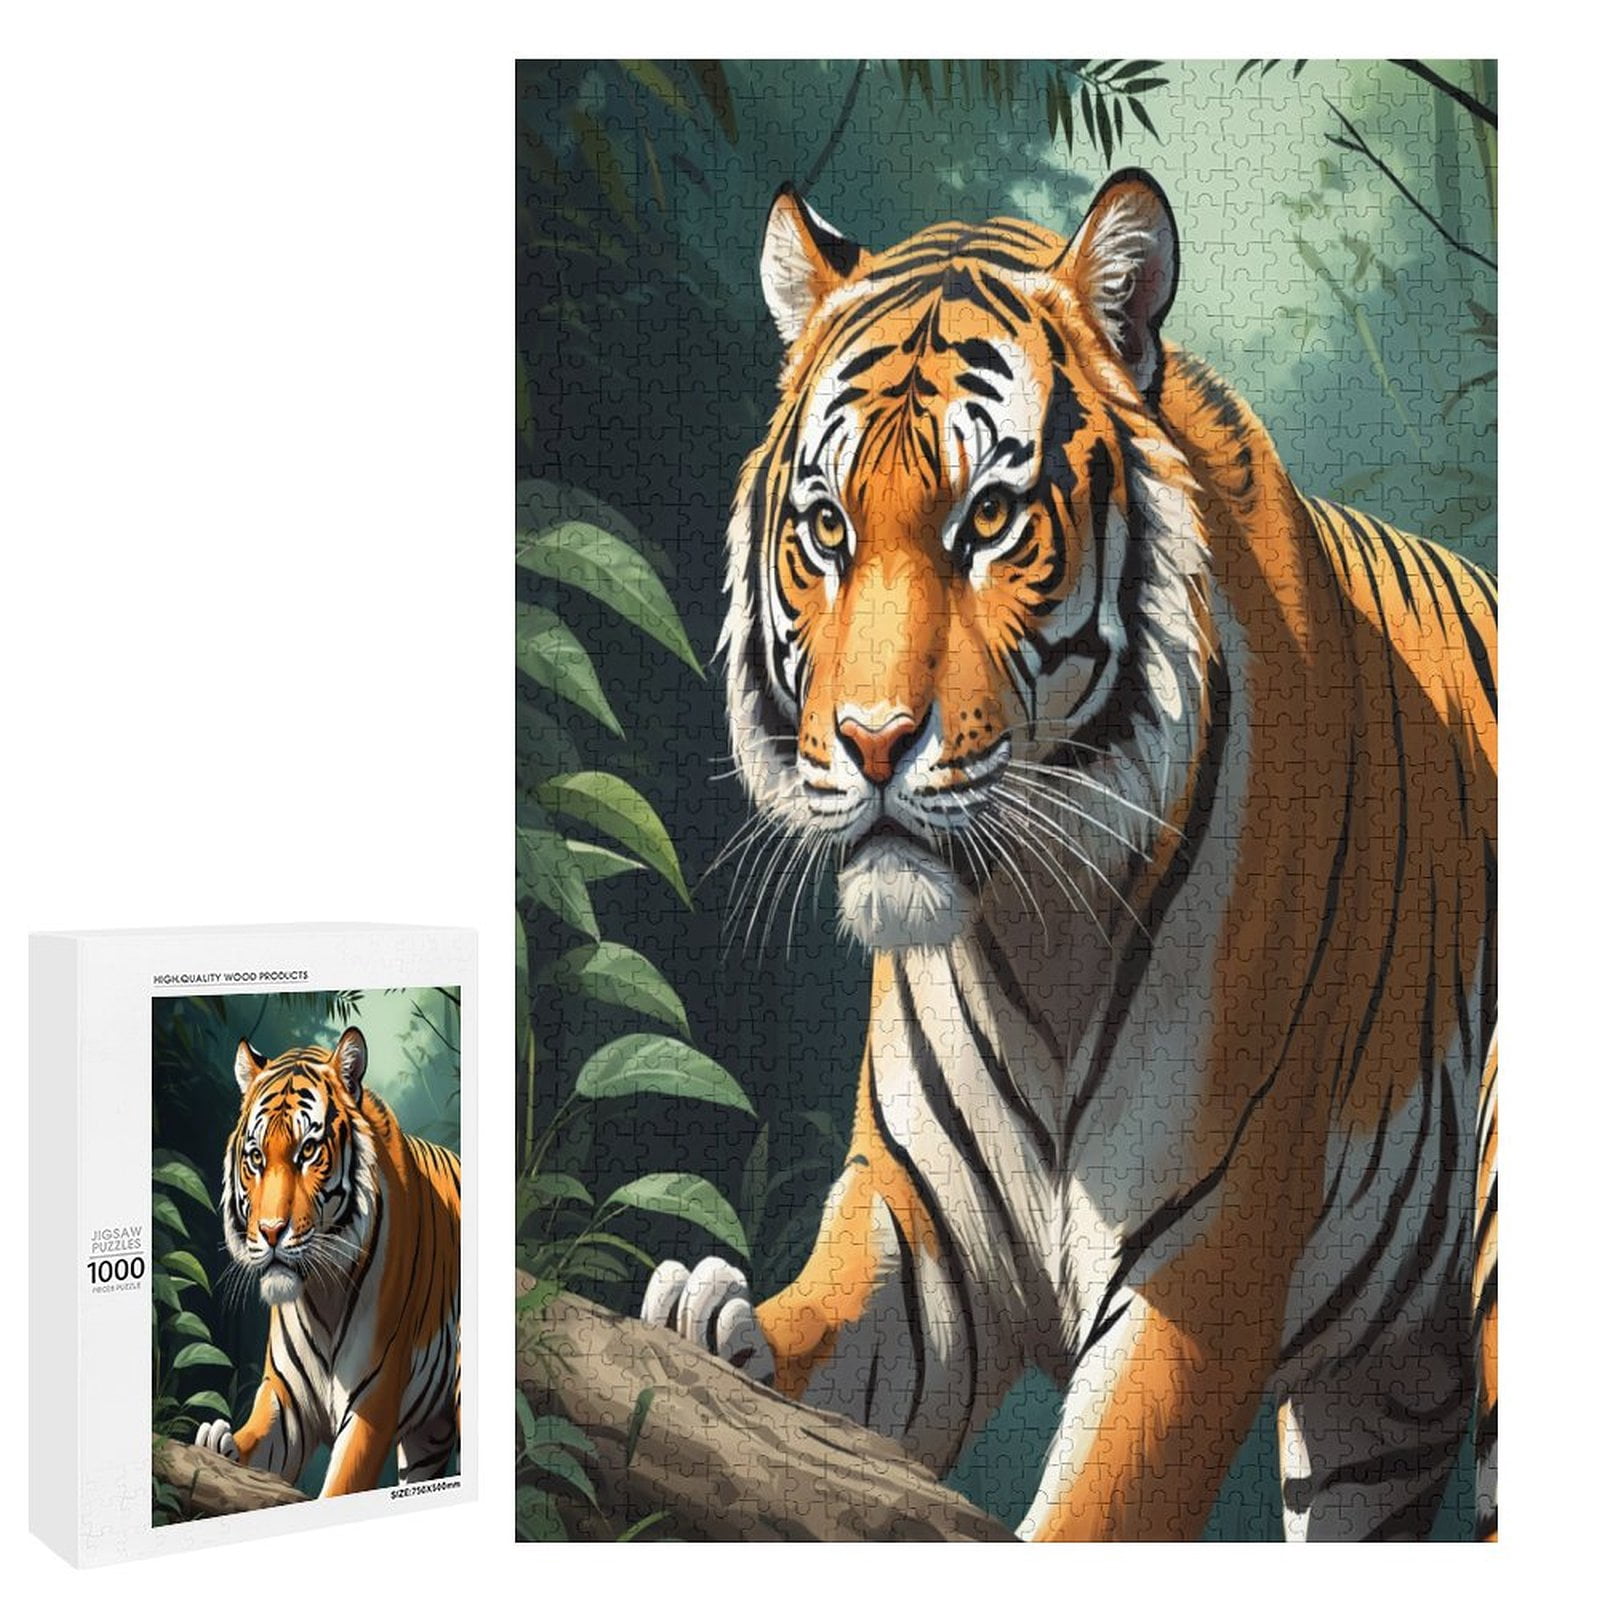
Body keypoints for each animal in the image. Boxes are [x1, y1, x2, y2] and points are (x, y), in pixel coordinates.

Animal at [192, 1026, 462, 1497]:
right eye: (256, 1157)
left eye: (308, 1151)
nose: (271, 1232)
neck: (323, 1291)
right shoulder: (287, 1402)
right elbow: (256, 1442)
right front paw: (217, 1439)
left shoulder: (374, 1400)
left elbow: (341, 1484)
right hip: (428, 1434)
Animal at [642, 170, 1497, 1542]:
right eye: (824, 527)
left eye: (987, 518)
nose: (870, 741)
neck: (1035, 931)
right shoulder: (921, 1244)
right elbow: (820, 1343)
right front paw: (707, 1320)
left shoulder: (1199, 1273)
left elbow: (1090, 1509)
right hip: (1380, 1396)